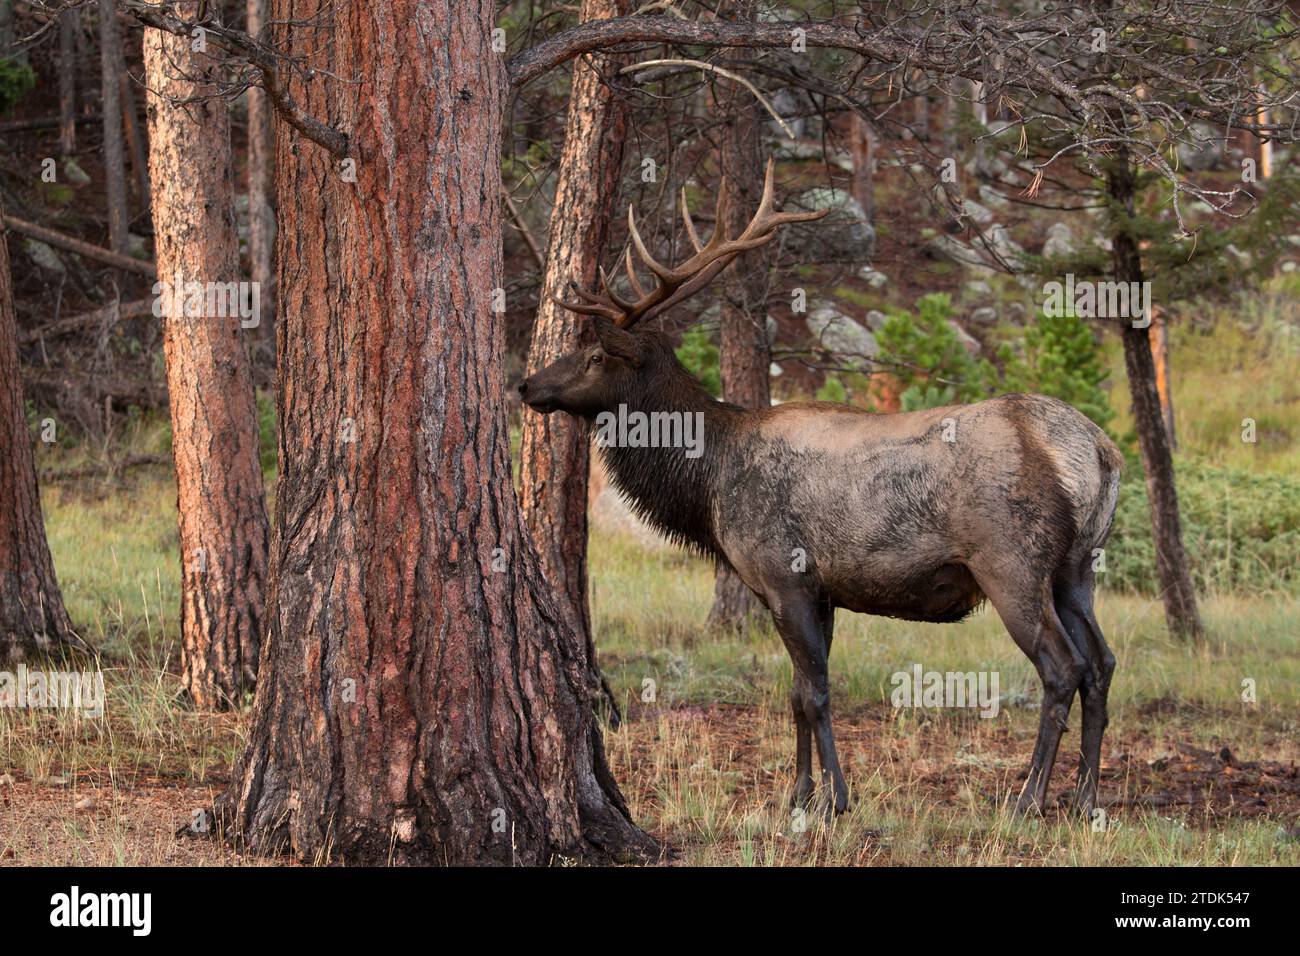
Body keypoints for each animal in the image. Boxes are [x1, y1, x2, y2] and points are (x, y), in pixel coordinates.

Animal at [518, 159, 1123, 821]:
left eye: (595, 355)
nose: (527, 384)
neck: (708, 483)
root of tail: (1096, 450)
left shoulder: (783, 575)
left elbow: (816, 693)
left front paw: (835, 799)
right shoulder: (819, 589)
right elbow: (795, 693)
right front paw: (800, 793)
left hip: (1011, 561)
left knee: (1062, 667)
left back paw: (1028, 798)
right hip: (1078, 566)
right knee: (1102, 663)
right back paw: (1086, 798)